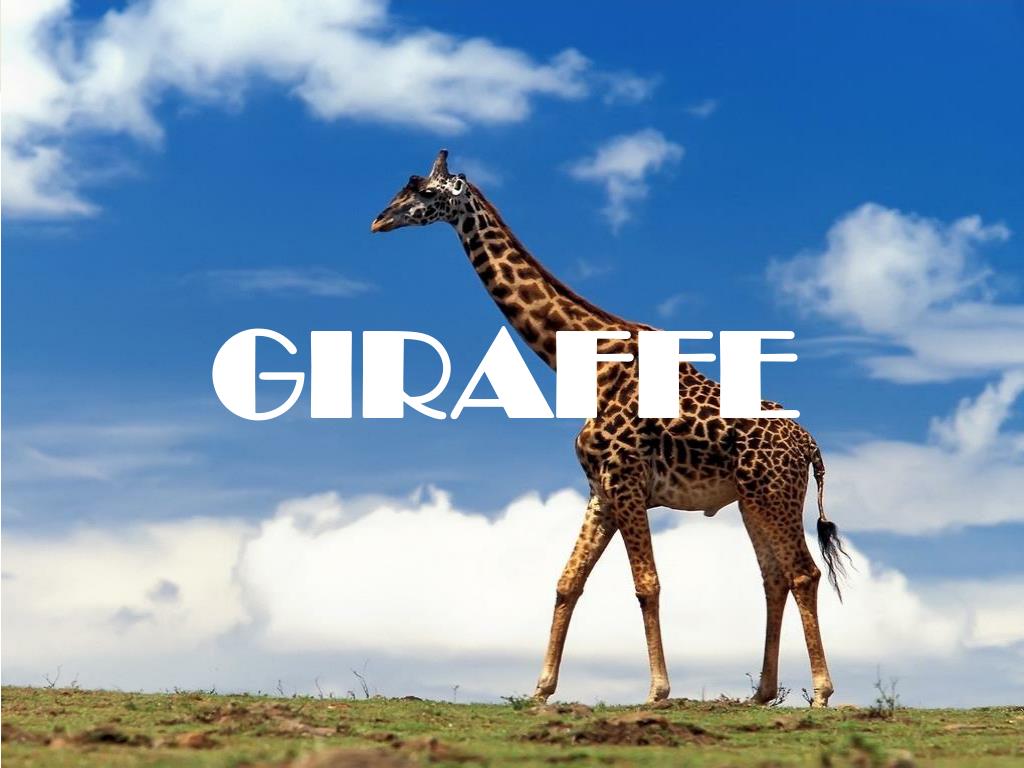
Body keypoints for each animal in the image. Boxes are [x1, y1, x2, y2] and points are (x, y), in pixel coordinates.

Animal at [371, 150, 850, 707]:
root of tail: (811, 445)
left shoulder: (626, 481)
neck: (590, 365)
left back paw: (820, 693)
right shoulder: (601, 489)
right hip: (753, 499)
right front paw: (541, 689)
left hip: (774, 494)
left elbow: (647, 583)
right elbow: (567, 582)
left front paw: (658, 691)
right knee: (774, 578)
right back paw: (762, 693)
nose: (379, 220)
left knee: (802, 572)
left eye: (425, 191)